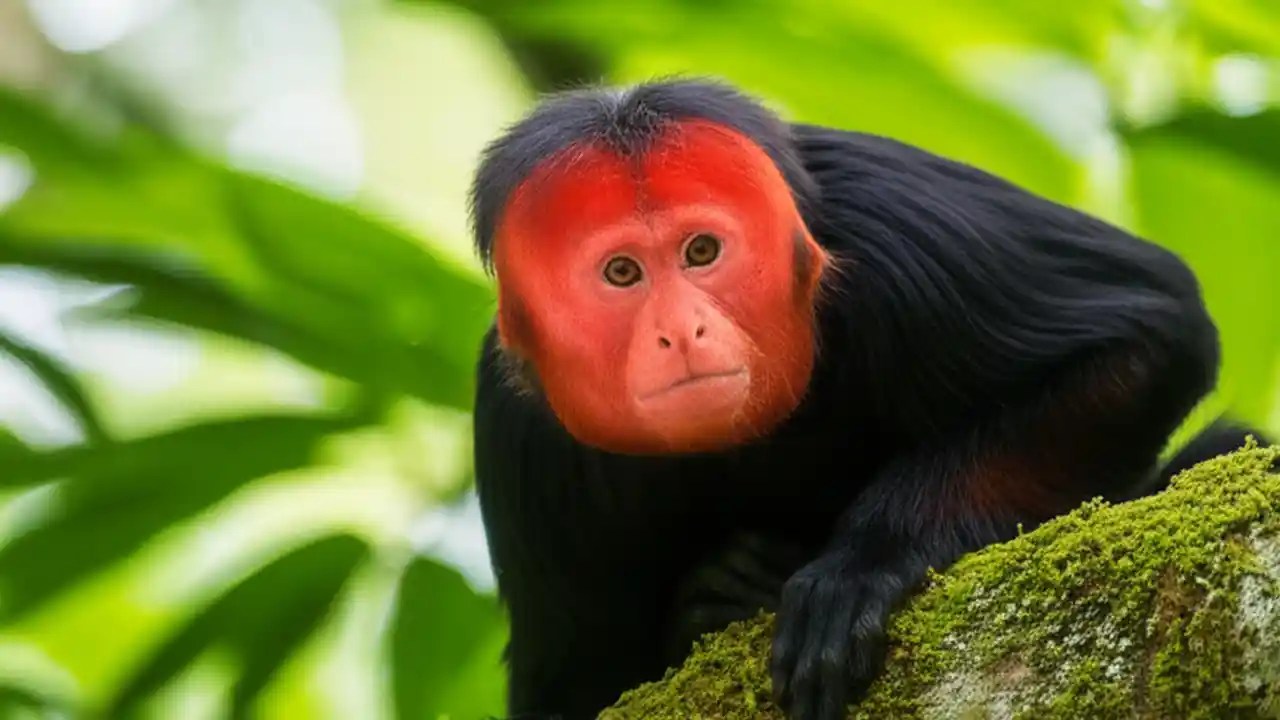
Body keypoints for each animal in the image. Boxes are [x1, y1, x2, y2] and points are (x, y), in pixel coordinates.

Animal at [468, 78, 1266, 720]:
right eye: (623, 273)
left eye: (701, 253)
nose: (682, 332)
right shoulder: (516, 431)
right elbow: (574, 689)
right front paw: (717, 597)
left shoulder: (892, 222)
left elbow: (1148, 333)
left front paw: (868, 561)